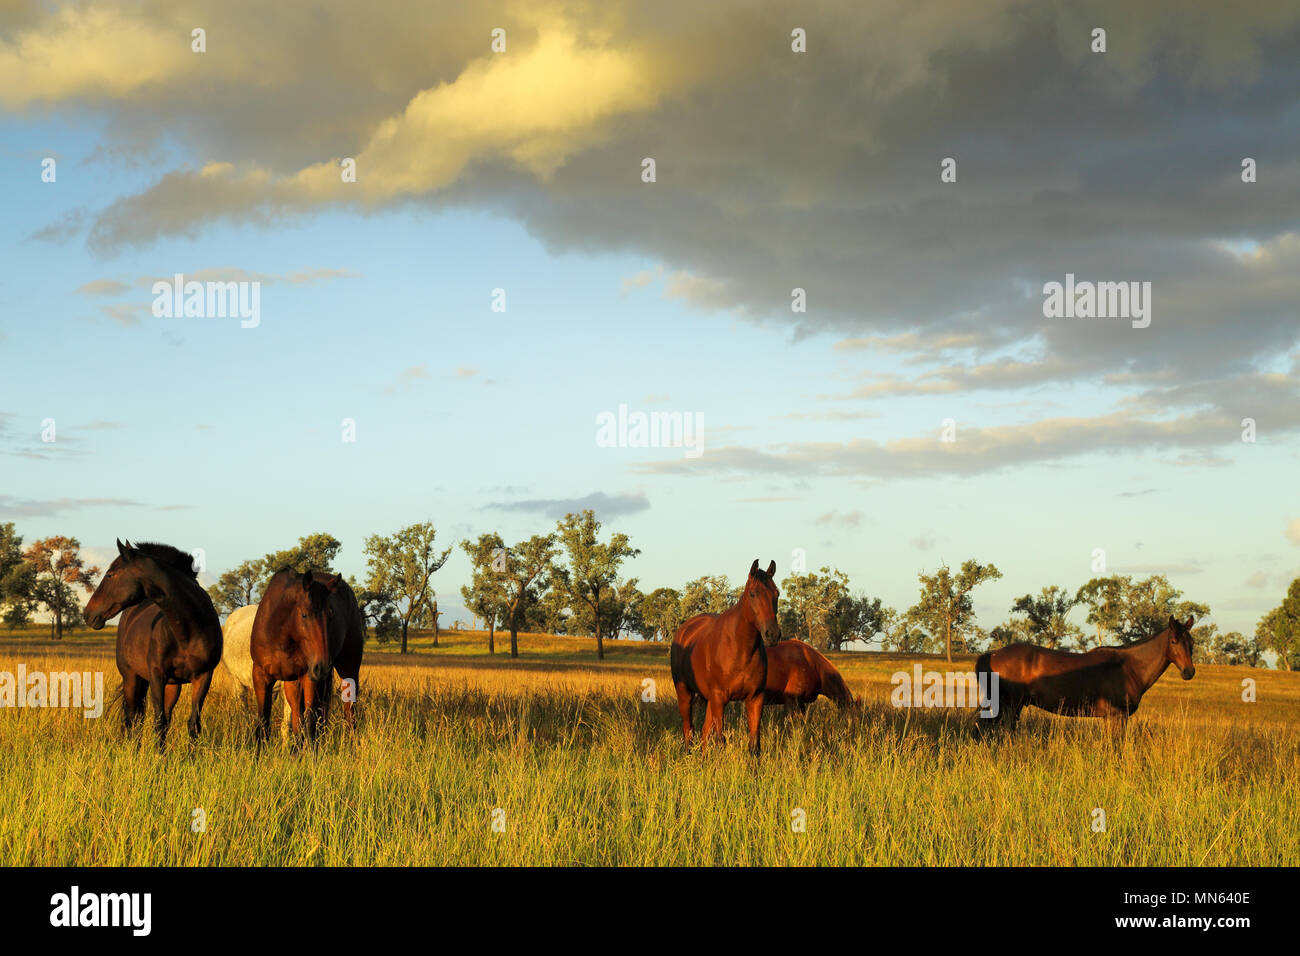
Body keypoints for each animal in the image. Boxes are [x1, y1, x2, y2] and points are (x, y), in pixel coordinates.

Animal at [83, 539, 223, 750]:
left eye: (110, 575)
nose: (87, 614)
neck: (190, 629)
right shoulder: (158, 676)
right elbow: (159, 721)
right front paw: (158, 756)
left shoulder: (203, 676)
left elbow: (193, 723)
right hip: (131, 678)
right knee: (132, 718)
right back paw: (133, 749)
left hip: (172, 685)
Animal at [249, 569, 363, 743]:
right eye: (304, 615)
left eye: (331, 616)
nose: (322, 666)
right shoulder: (261, 676)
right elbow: (263, 724)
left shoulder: (308, 677)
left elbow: (310, 723)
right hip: (293, 684)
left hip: (348, 668)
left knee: (349, 711)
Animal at [670, 559, 781, 755]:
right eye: (753, 594)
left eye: (777, 594)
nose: (772, 634)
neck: (739, 649)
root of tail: (684, 629)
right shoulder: (719, 698)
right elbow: (720, 741)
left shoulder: (755, 698)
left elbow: (754, 745)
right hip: (685, 693)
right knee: (688, 731)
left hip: (709, 700)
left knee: (703, 733)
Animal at [975, 615, 1196, 733]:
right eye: (1173, 641)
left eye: (1192, 642)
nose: (1189, 672)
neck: (1128, 668)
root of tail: (993, 654)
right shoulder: (1117, 716)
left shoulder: (1110, 719)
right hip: (1010, 706)